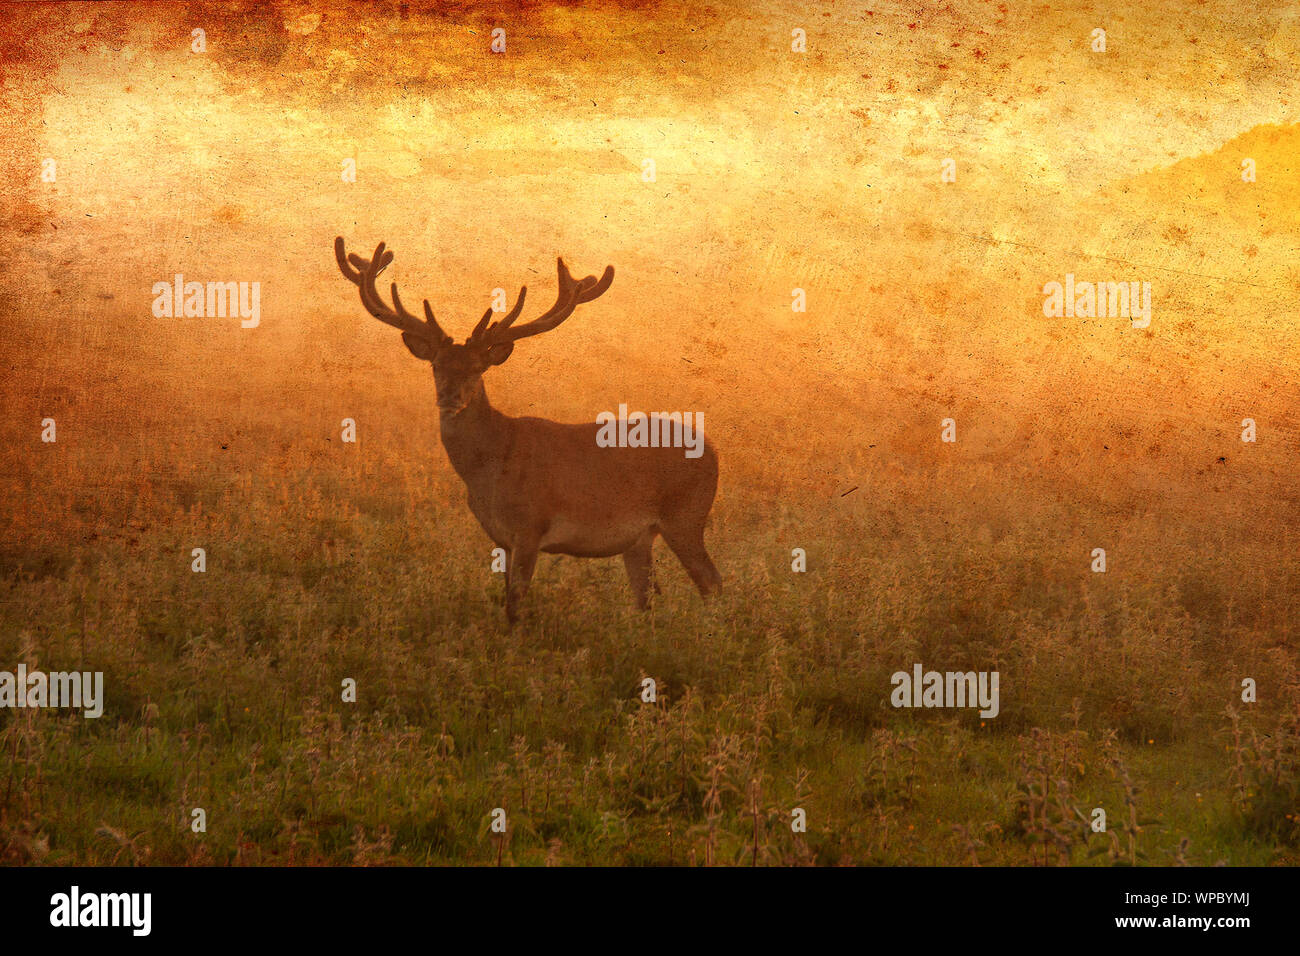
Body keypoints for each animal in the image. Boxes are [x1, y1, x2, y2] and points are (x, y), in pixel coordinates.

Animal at [334, 238, 722, 624]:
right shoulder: (500, 537)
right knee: (648, 597)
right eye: (436, 365)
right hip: (641, 538)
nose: (449, 397)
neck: (491, 467)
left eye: (478, 368)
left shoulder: (531, 525)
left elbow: (515, 603)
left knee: (712, 582)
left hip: (685, 516)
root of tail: (714, 452)